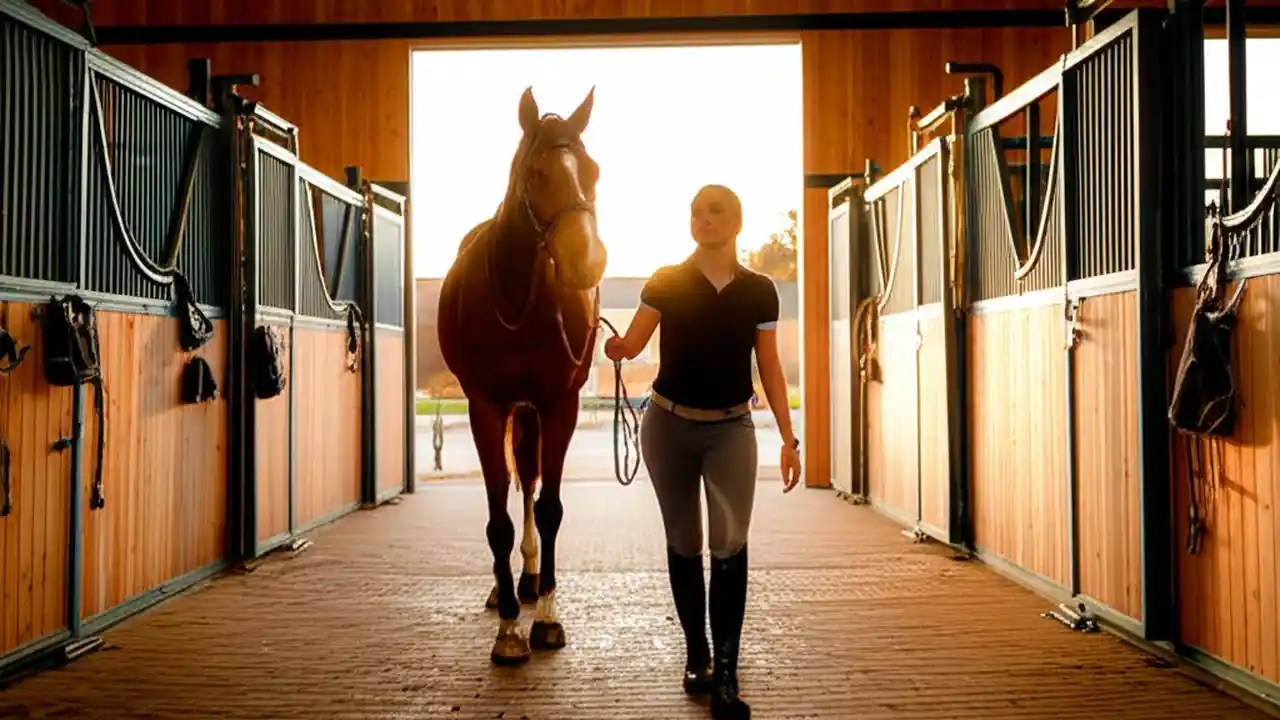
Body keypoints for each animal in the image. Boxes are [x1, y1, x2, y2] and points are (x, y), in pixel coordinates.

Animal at [436, 86, 606, 665]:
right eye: (536, 173)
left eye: (593, 171)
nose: (587, 261)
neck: (516, 297)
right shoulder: (485, 407)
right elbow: (497, 519)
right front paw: (510, 629)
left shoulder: (560, 404)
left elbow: (549, 507)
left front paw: (547, 618)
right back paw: (505, 589)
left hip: (532, 410)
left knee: (529, 482)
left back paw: (531, 579)